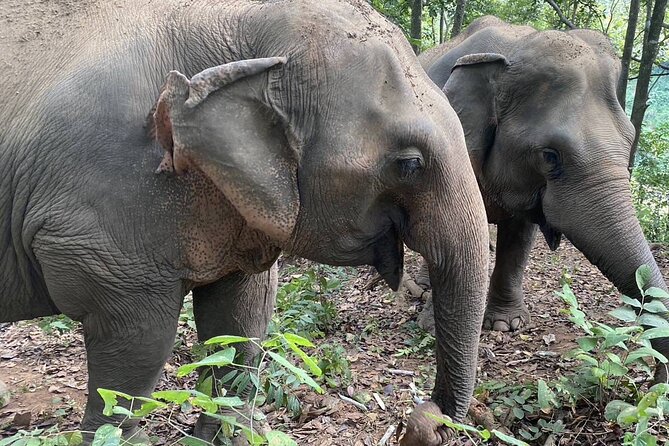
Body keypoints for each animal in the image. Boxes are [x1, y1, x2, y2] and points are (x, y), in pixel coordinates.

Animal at [0, 0, 490, 442]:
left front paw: (227, 434)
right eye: (409, 164)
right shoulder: (107, 208)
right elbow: (136, 343)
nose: (426, 417)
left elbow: (242, 316)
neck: (234, 20)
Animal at [418, 16, 669, 382]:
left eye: (631, 138)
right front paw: (432, 326)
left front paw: (507, 324)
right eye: (550, 156)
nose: (656, 377)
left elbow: (519, 236)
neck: (514, 50)